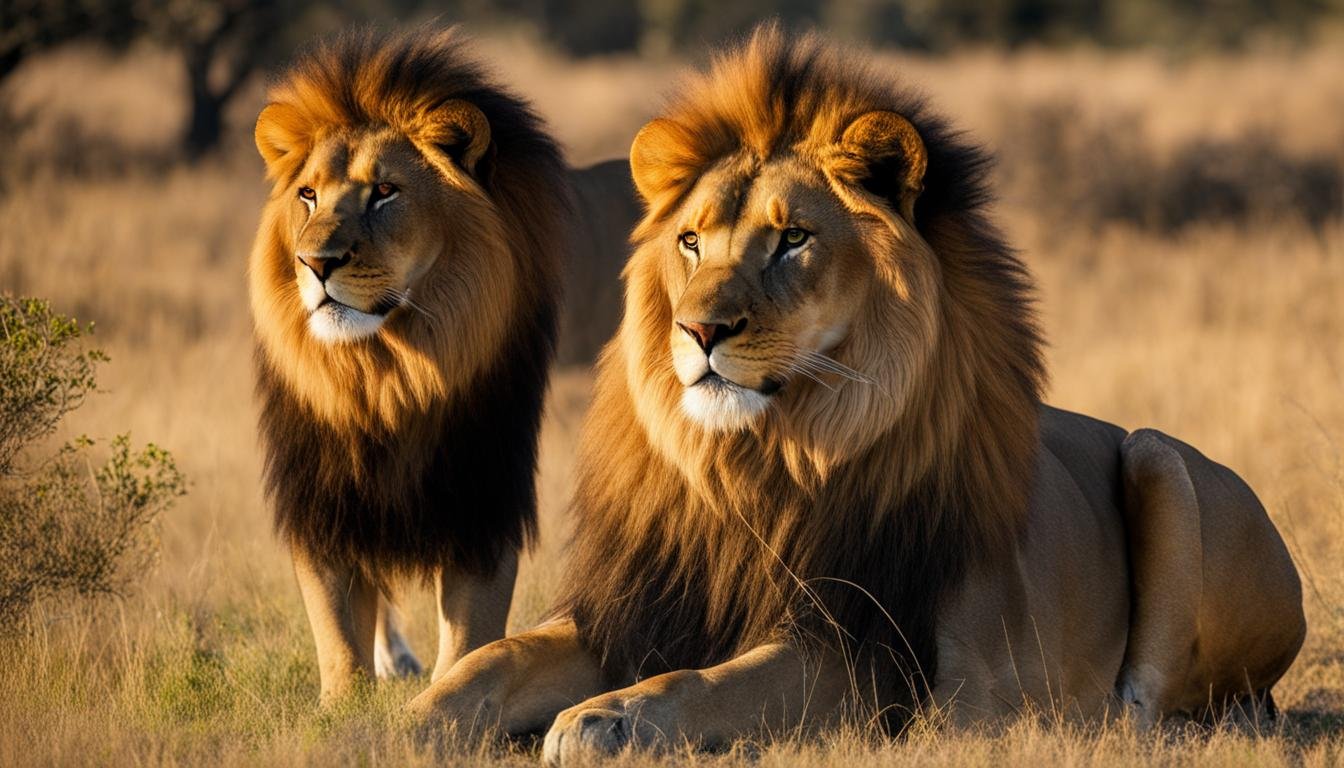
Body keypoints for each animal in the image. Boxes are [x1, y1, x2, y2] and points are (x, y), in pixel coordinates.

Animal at [248, 27, 634, 702]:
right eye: (308, 195)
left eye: (385, 192)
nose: (315, 263)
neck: (386, 376)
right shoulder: (321, 491)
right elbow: (335, 623)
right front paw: (341, 704)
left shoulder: (483, 488)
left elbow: (470, 636)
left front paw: (448, 692)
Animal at [405, 25, 1306, 762]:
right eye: (691, 241)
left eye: (793, 239)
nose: (698, 331)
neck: (756, 468)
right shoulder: (647, 605)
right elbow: (498, 655)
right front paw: (416, 716)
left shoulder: (870, 650)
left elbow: (714, 682)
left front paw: (609, 718)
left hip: (1158, 458)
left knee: (1157, 702)